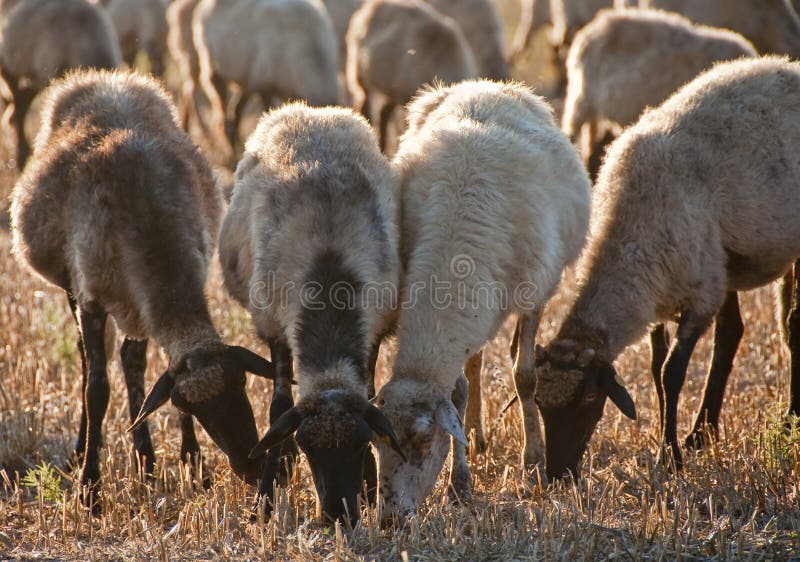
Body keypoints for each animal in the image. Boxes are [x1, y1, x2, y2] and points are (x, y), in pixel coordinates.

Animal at [10, 69, 275, 509]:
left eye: (242, 382)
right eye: (197, 407)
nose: (252, 468)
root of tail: (103, 77)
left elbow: (151, 373)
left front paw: (194, 466)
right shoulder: (91, 298)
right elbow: (96, 390)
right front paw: (90, 489)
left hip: (131, 305)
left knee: (131, 362)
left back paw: (146, 461)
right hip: (75, 288)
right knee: (86, 362)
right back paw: (82, 453)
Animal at [192, 0, 339, 152]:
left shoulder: (259, 83)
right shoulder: (264, 87)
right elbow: (266, 114)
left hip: (247, 80)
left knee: (235, 111)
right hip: (214, 70)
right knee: (223, 113)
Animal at [219, 102, 403, 525]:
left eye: (361, 445)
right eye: (308, 448)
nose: (339, 514)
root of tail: (314, 111)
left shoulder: (374, 330)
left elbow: (369, 394)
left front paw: (371, 490)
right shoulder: (275, 329)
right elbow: (279, 409)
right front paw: (265, 502)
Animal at [373, 80, 591, 518]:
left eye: (424, 439)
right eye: (375, 445)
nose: (389, 518)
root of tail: (483, 85)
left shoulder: (535, 292)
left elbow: (525, 377)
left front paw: (533, 465)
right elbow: (458, 390)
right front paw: (459, 483)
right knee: (473, 363)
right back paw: (475, 432)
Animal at [534, 56, 800, 480]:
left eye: (590, 396)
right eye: (540, 404)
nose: (558, 474)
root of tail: (788, 66)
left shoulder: (698, 297)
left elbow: (671, 373)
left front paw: (669, 455)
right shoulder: (659, 296)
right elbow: (656, 369)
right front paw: (669, 439)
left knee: (790, 326)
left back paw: (787, 421)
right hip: (719, 265)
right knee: (734, 332)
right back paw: (703, 433)